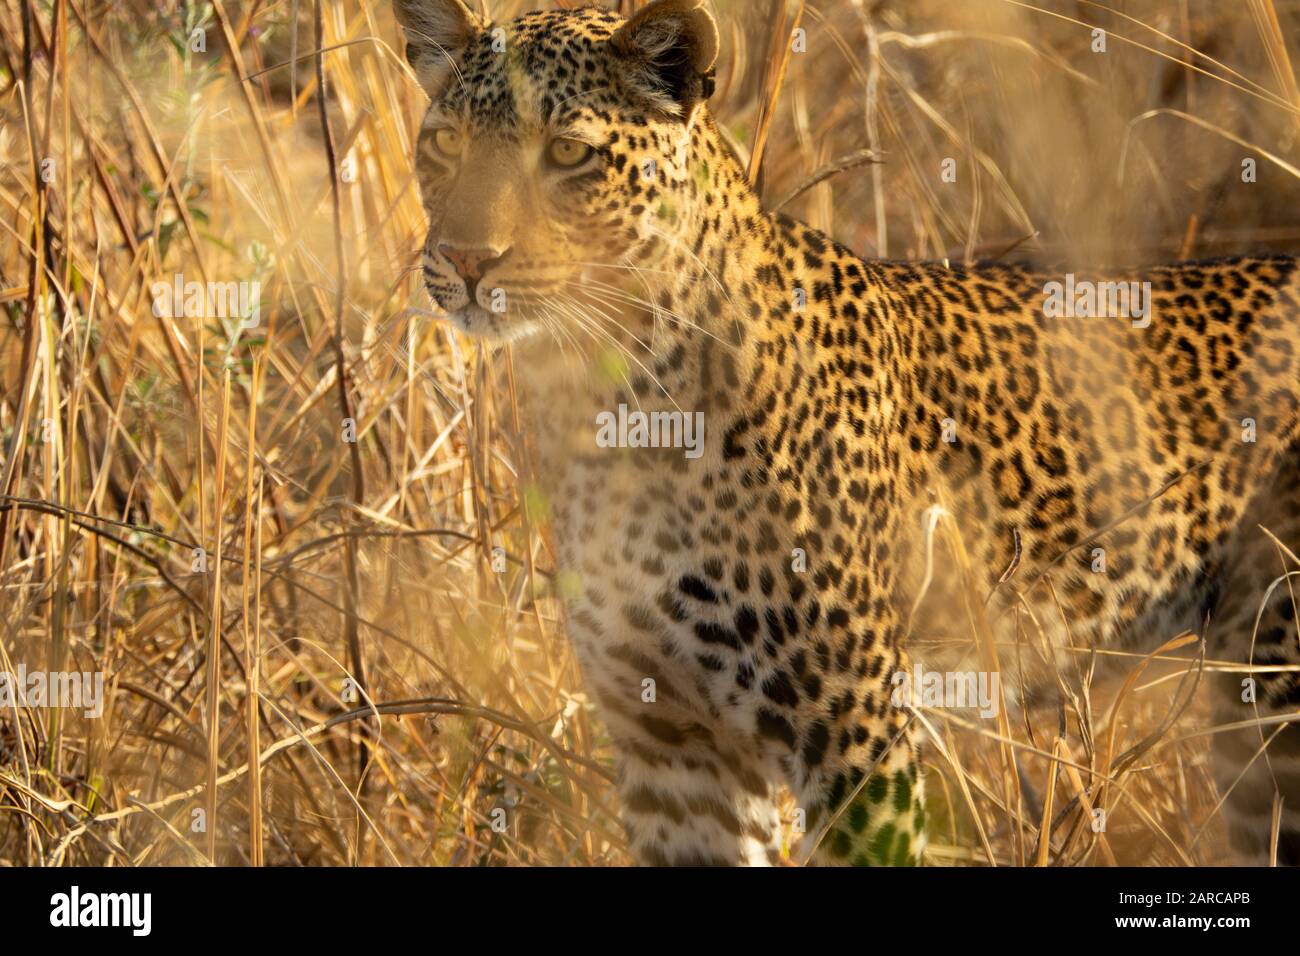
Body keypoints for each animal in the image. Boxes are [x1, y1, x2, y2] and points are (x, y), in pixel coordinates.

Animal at [394, 0, 1300, 866]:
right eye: (444, 142)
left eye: (568, 154)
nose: (466, 260)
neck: (603, 396)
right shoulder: (671, 745)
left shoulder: (854, 733)